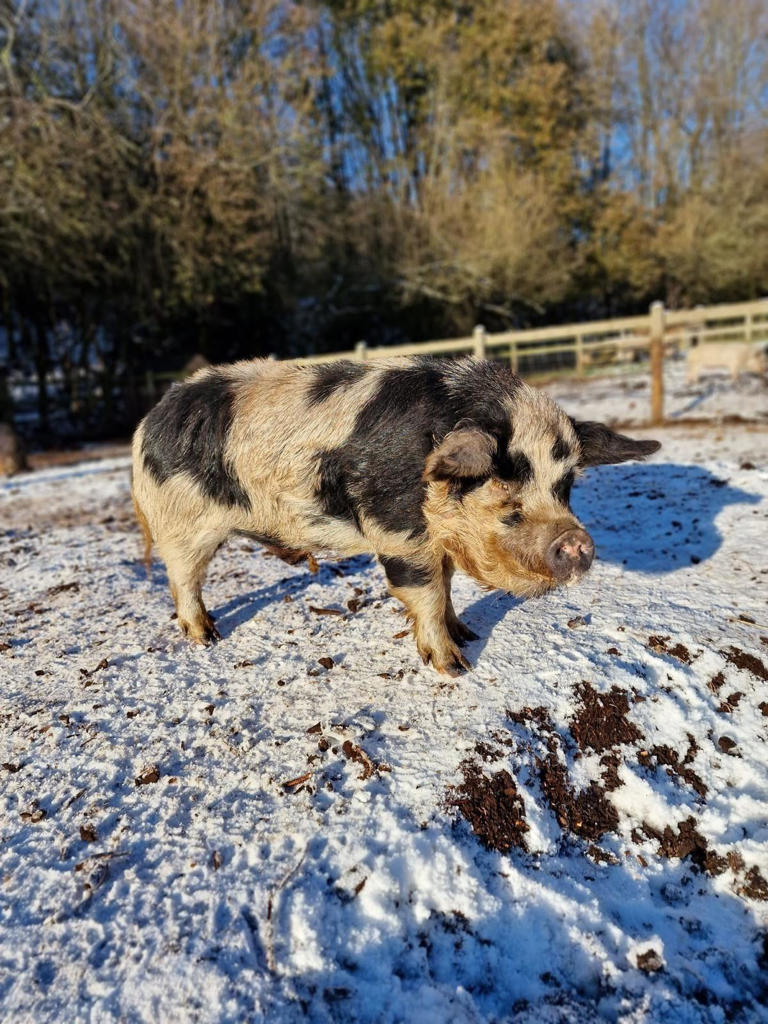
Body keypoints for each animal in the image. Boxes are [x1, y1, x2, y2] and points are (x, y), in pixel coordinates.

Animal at [131, 357, 660, 675]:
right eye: (503, 478)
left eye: (566, 484)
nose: (575, 542)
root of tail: (148, 421)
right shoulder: (397, 530)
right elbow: (424, 591)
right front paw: (454, 667)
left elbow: (446, 585)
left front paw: (467, 634)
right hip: (181, 525)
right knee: (182, 580)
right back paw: (207, 638)